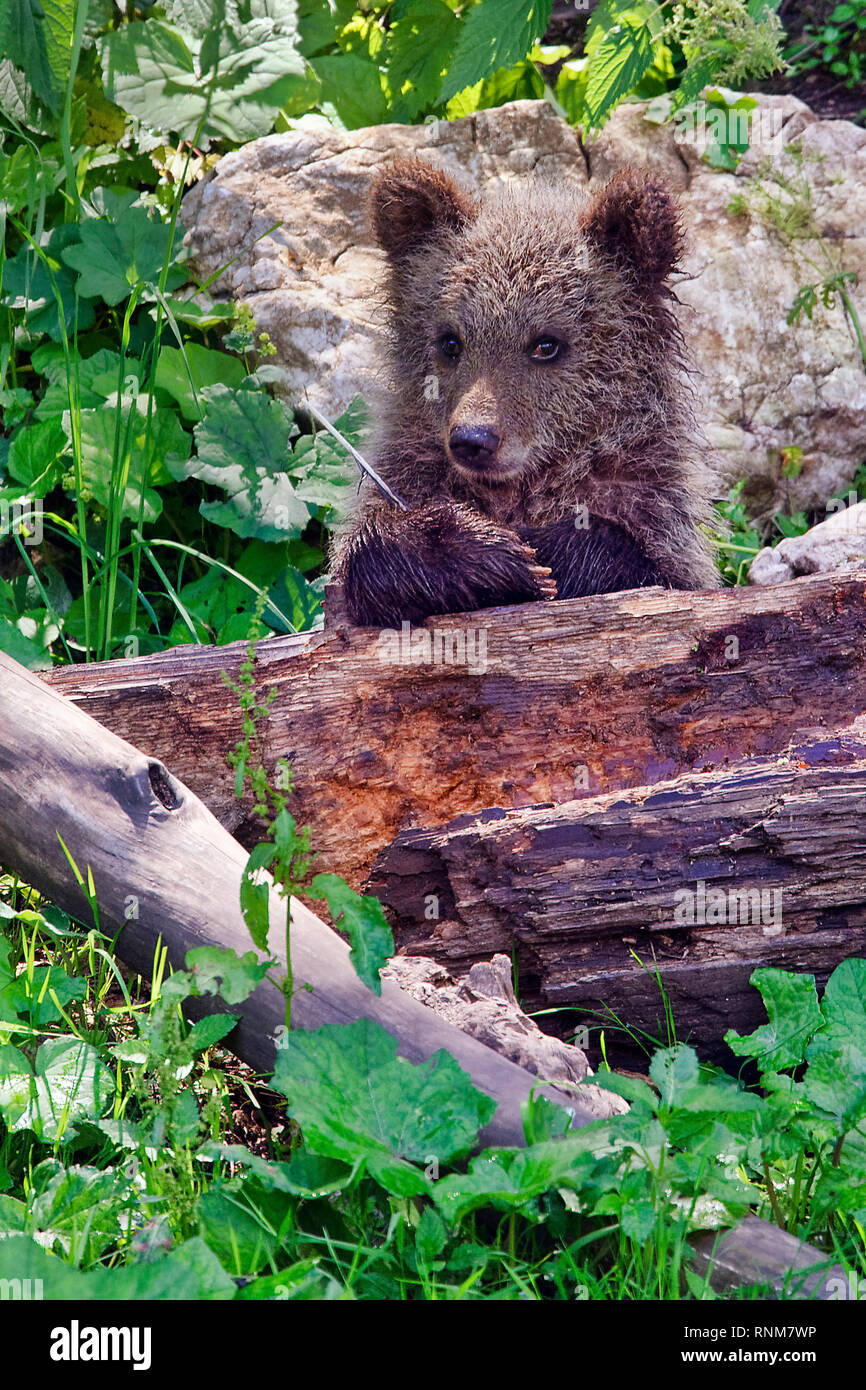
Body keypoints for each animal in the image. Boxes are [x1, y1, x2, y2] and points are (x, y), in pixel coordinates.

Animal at [333, 157, 721, 628]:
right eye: (450, 340)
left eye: (545, 343)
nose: (473, 439)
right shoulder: (408, 472)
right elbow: (371, 548)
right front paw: (491, 553)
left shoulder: (654, 508)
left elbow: (649, 565)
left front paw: (547, 553)